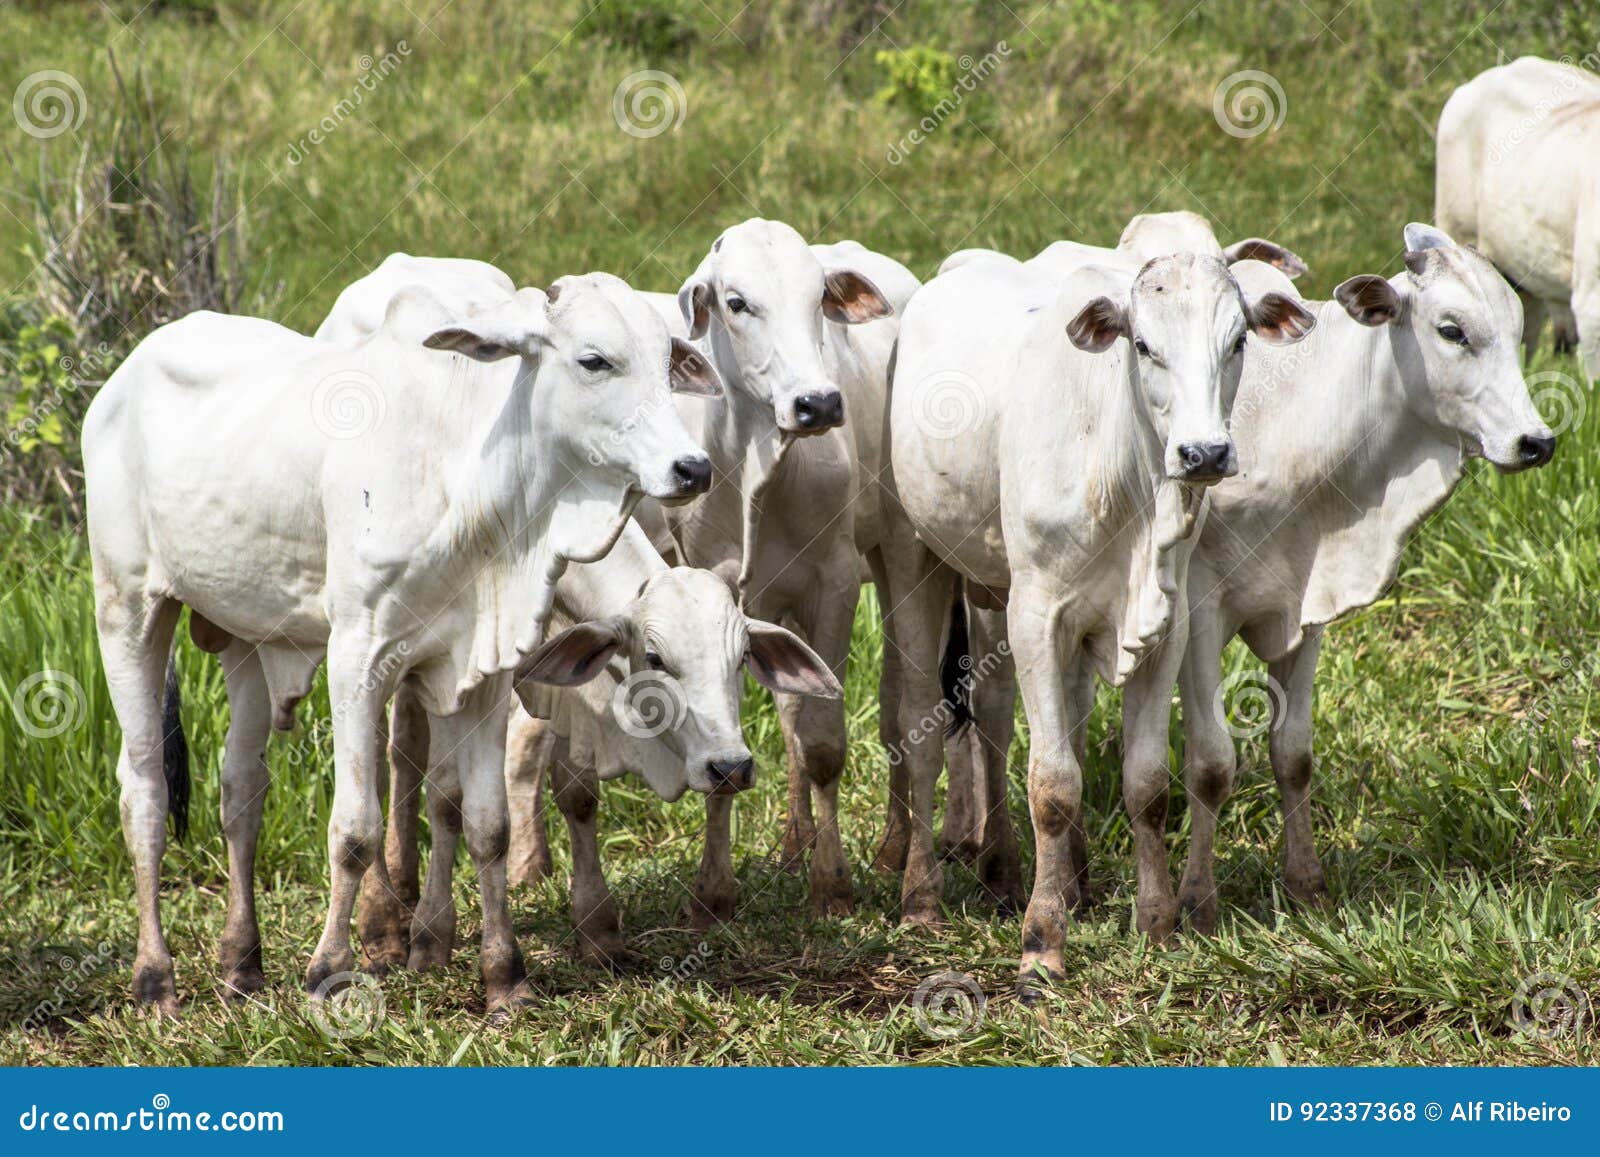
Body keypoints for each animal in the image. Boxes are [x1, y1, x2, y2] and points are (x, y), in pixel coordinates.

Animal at [84, 273, 717, 1016]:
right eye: (594, 360)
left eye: (667, 360)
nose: (692, 467)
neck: (465, 480)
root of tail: (124, 374)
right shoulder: (357, 658)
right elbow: (356, 829)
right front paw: (330, 971)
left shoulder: (484, 672)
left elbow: (488, 824)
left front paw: (505, 978)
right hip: (127, 609)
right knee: (144, 793)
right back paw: (155, 979)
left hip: (245, 635)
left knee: (241, 788)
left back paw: (242, 964)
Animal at [637, 218, 919, 917]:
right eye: (737, 302)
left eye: (819, 296)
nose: (818, 404)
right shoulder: (720, 585)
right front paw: (714, 890)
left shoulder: (835, 581)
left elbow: (822, 743)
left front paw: (832, 885)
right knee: (793, 711)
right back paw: (794, 845)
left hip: (898, 549)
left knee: (898, 697)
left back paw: (895, 848)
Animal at [878, 253, 1315, 998]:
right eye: (1142, 344)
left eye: (1238, 341)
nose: (1203, 452)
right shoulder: (1036, 615)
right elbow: (1053, 785)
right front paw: (1041, 946)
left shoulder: (1167, 625)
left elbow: (1147, 783)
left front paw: (1158, 923)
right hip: (917, 563)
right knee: (927, 731)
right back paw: (923, 900)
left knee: (1009, 720)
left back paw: (1035, 877)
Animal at [1174, 225, 1557, 931]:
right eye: (1451, 330)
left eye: (1519, 330)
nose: (1535, 441)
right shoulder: (1198, 610)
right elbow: (1212, 763)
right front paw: (1197, 902)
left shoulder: (1308, 609)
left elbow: (1293, 754)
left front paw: (1306, 884)